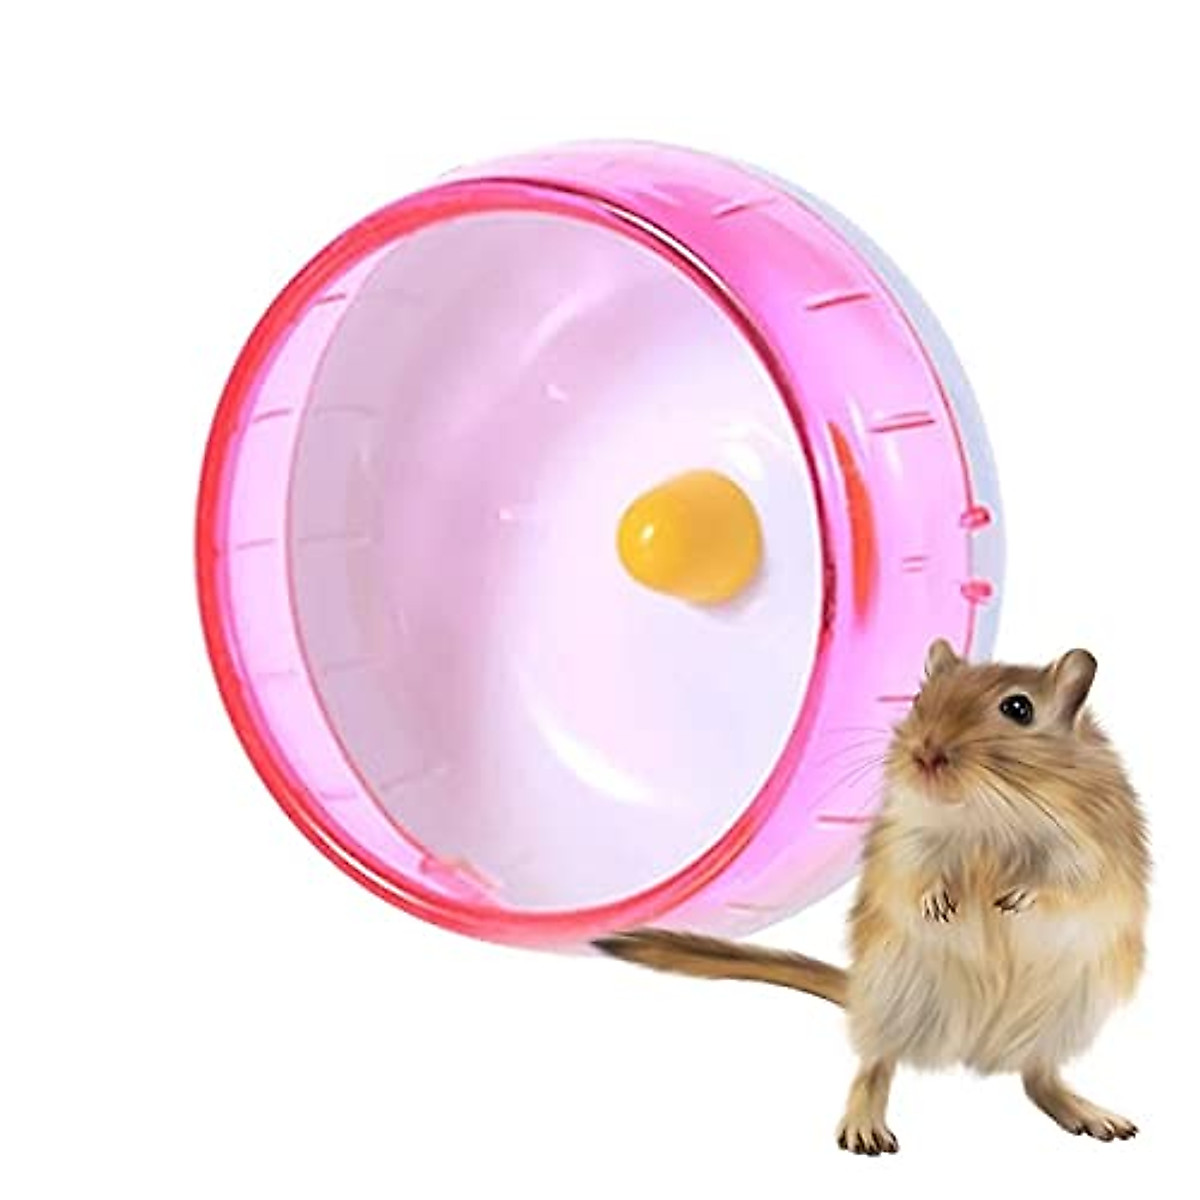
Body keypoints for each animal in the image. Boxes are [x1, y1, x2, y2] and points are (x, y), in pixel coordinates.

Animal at [595, 639, 1150, 1154]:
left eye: (1018, 708)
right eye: (920, 698)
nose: (923, 753)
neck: (987, 815)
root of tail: (974, 1048)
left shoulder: (1091, 852)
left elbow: (1063, 885)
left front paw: (1010, 901)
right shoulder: (905, 840)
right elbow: (917, 877)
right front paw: (941, 906)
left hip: (1062, 1018)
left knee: (1039, 1078)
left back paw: (1098, 1118)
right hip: (894, 993)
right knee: (876, 1064)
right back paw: (865, 1131)